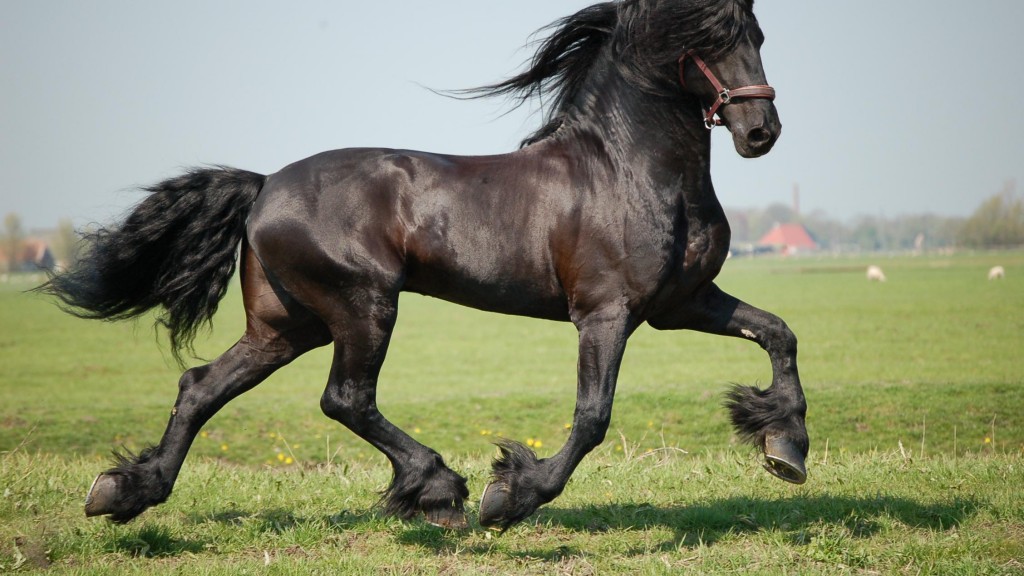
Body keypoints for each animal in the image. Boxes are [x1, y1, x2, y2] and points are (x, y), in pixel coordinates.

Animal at [39, 0, 808, 531]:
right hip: (363, 305)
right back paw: (440, 488)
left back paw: (124, 492)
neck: (627, 170)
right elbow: (592, 417)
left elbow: (778, 333)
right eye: (707, 39)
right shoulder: (605, 312)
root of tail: (264, 185)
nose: (760, 132)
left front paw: (785, 446)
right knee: (345, 398)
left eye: (758, 36)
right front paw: (510, 495)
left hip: (286, 325)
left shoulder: (681, 304)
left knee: (201, 387)